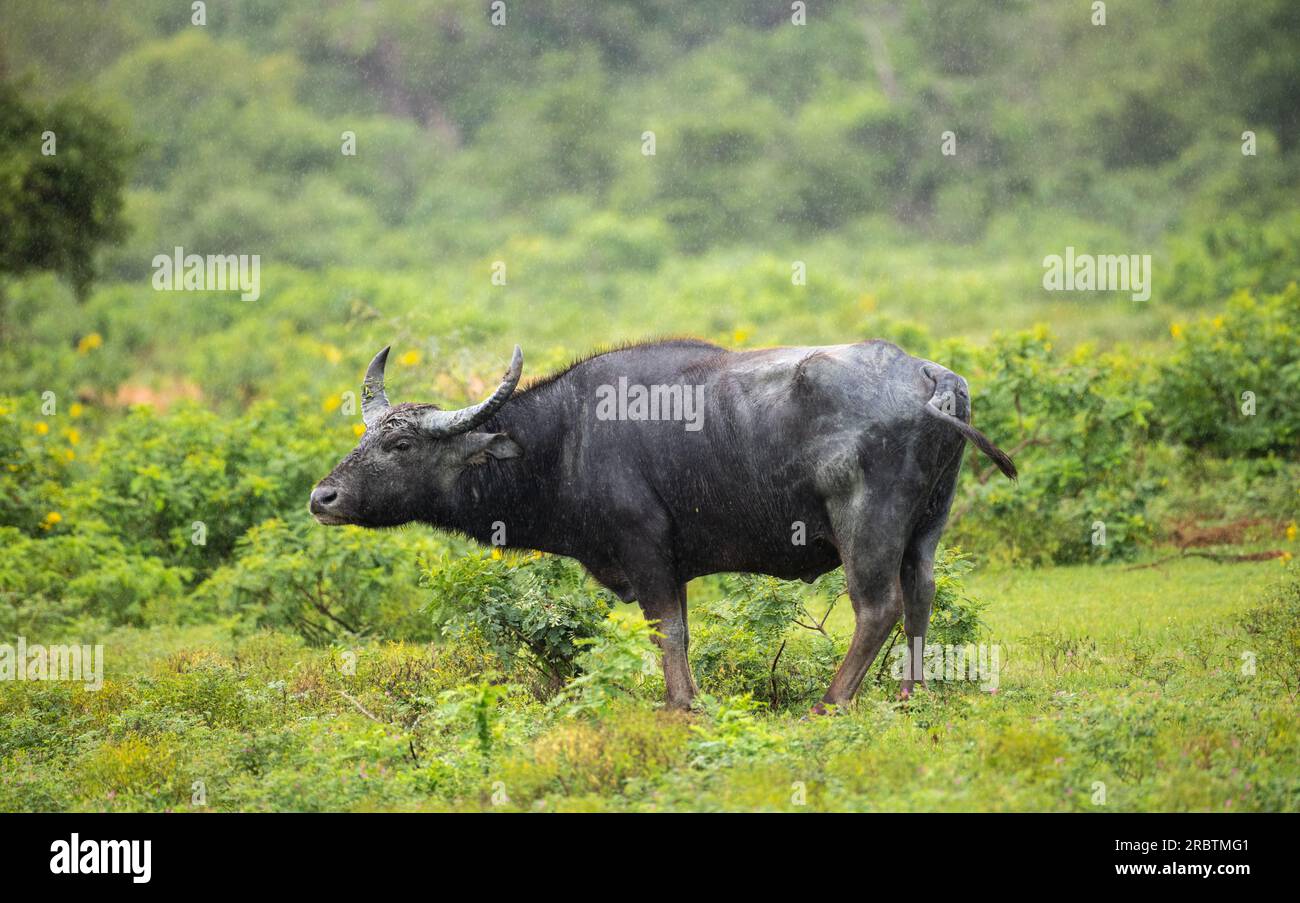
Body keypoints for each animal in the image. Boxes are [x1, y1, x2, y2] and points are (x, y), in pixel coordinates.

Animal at [310, 339, 1016, 709]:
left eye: (401, 445)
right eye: (367, 435)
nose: (323, 496)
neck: (567, 438)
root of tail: (930, 375)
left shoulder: (644, 549)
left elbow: (666, 632)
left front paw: (679, 705)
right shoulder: (670, 564)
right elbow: (680, 632)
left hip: (865, 526)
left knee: (878, 607)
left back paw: (831, 701)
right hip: (926, 529)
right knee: (921, 597)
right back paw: (911, 696)